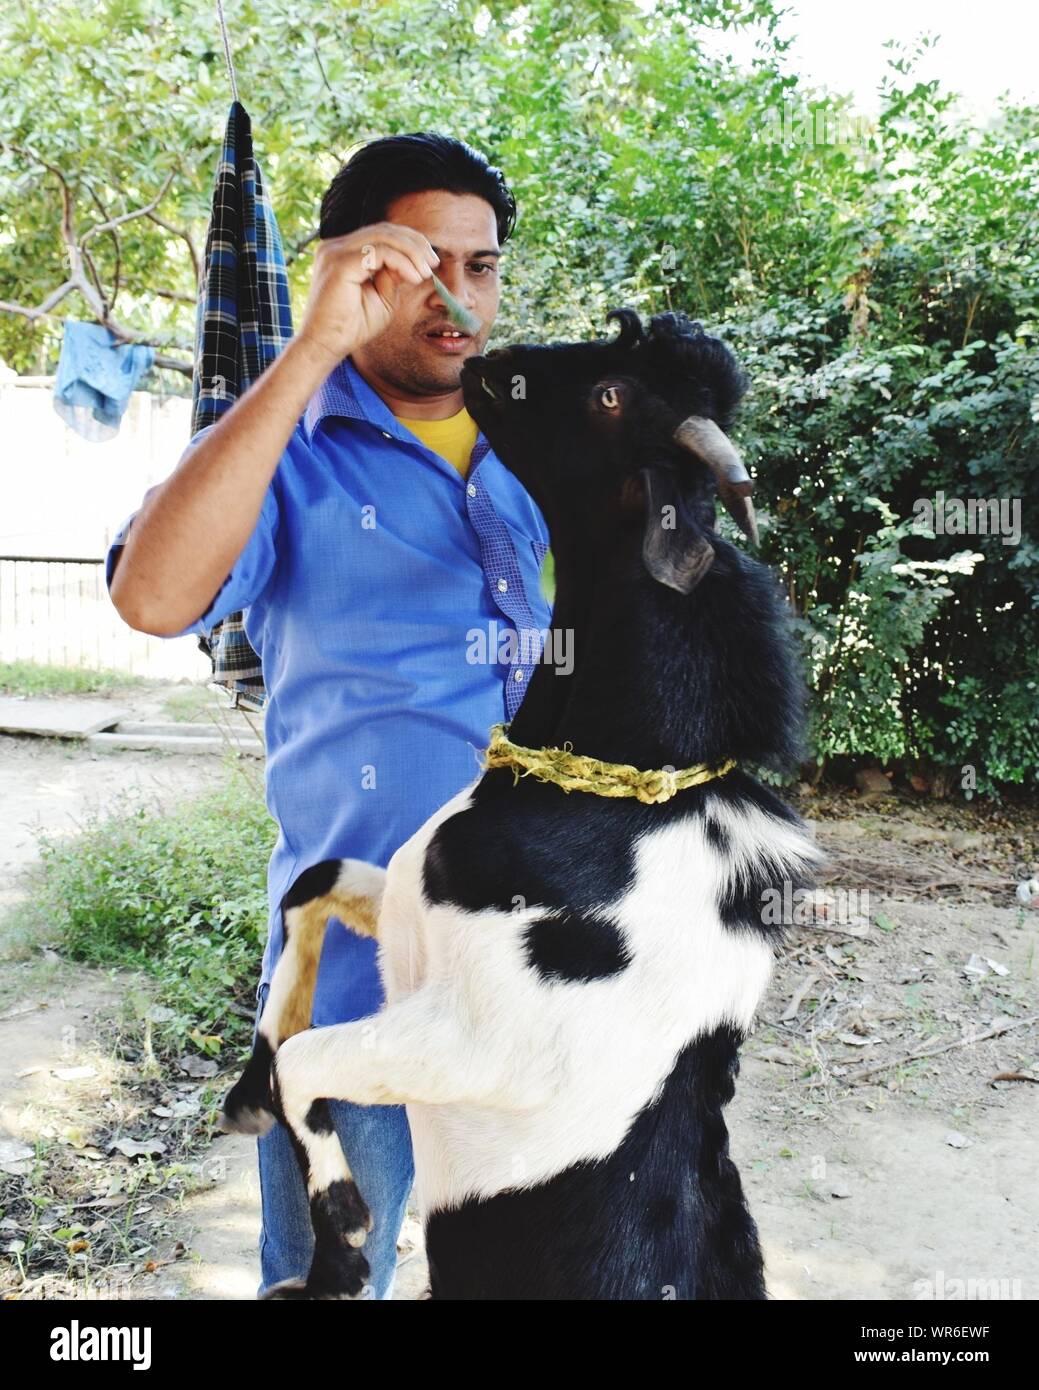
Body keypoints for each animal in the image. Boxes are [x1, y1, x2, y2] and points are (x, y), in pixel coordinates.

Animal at [220, 308, 823, 1300]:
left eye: (611, 395)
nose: (491, 360)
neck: (622, 797)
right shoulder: (409, 919)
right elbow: (308, 887)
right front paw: (247, 1085)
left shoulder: (473, 1043)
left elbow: (308, 1066)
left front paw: (340, 1247)